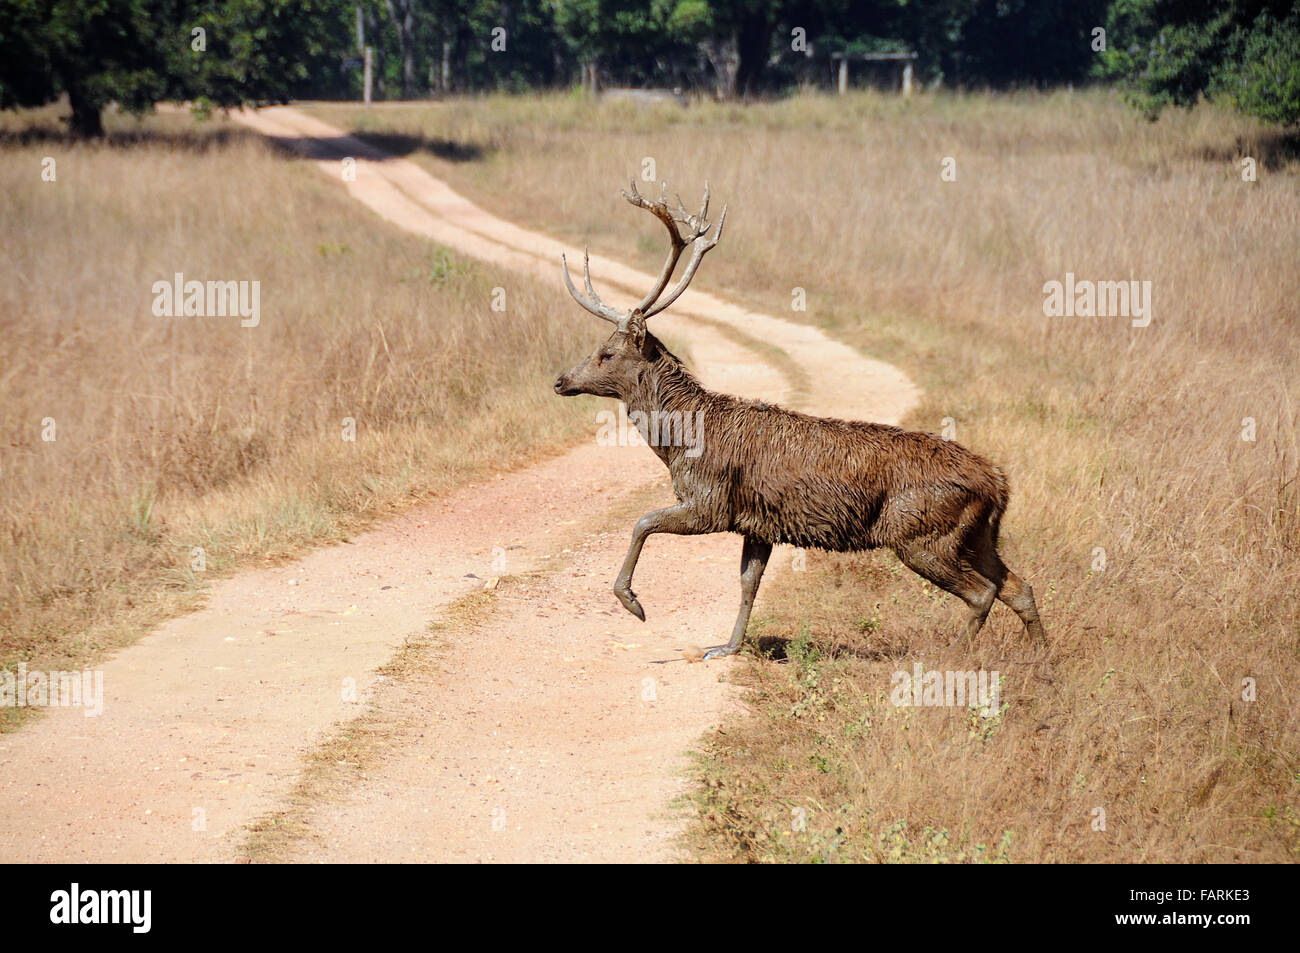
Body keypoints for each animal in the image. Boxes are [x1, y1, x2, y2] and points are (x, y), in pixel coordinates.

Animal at [553, 181, 1045, 660]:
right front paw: (727, 646)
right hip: (978, 536)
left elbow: (643, 522)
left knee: (983, 593)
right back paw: (1040, 660)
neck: (678, 445)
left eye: (606, 353)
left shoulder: (710, 503)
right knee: (1018, 586)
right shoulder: (757, 523)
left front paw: (632, 602)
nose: (560, 380)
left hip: (923, 534)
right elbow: (748, 583)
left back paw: (952, 658)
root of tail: (999, 482)